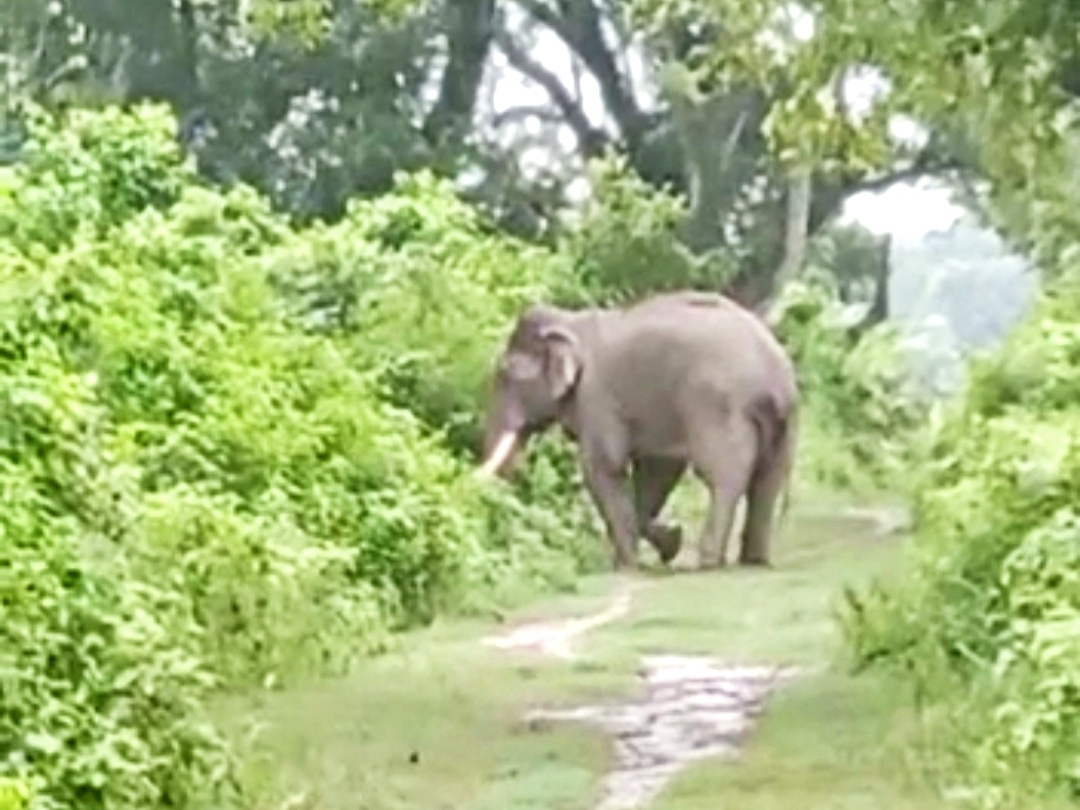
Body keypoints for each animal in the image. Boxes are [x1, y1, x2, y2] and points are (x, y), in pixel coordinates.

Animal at [477, 290, 799, 571]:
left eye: (505, 375)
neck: (572, 322)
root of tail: (775, 378)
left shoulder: (597, 398)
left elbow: (603, 468)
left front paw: (626, 565)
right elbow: (659, 470)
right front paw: (671, 544)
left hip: (718, 410)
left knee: (725, 476)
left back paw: (709, 562)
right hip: (784, 425)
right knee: (767, 480)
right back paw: (754, 560)